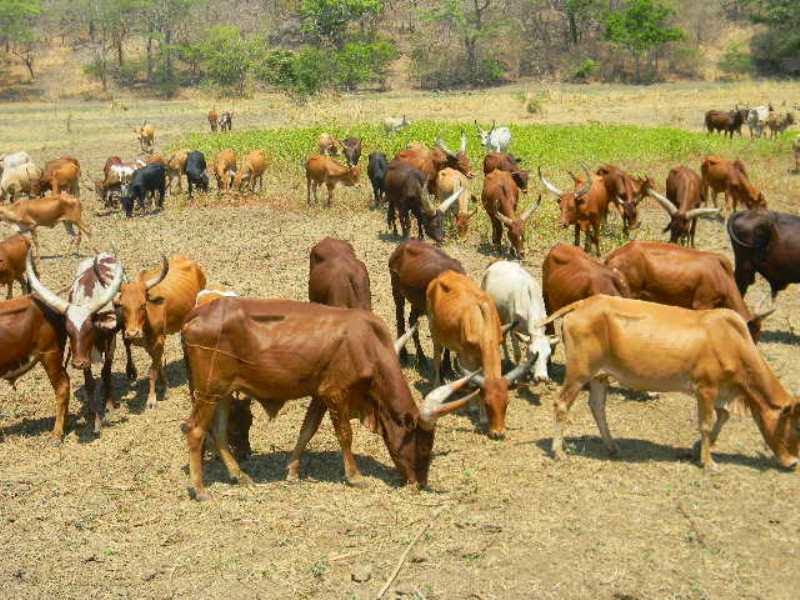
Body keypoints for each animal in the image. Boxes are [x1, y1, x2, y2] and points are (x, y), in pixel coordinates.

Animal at [27, 252, 125, 434]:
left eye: (90, 329)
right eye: (68, 331)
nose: (78, 363)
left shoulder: (109, 342)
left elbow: (106, 372)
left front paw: (109, 405)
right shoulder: (84, 354)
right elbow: (89, 383)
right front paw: (95, 418)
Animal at [116, 256, 206, 409]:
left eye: (143, 304)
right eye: (122, 305)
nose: (133, 333)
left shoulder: (158, 340)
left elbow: (152, 371)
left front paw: (152, 399)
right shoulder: (147, 343)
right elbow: (156, 364)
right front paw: (164, 386)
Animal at [180, 297, 453, 500]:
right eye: (424, 446)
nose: (420, 483)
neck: (366, 344)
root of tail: (195, 315)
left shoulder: (320, 394)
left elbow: (307, 430)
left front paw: (292, 470)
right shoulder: (335, 392)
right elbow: (345, 435)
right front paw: (355, 476)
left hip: (222, 393)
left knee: (218, 433)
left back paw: (240, 476)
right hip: (209, 391)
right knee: (194, 430)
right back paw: (200, 489)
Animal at [427, 270, 531, 439]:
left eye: (507, 402)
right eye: (488, 403)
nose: (498, 433)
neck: (483, 326)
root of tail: (441, 276)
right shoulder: (467, 358)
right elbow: (471, 381)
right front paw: (475, 410)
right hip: (435, 334)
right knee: (436, 358)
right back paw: (437, 384)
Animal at [540, 295, 800, 471]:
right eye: (796, 427)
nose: (793, 462)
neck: (731, 341)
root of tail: (582, 303)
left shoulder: (720, 391)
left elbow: (723, 416)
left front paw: (699, 448)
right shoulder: (706, 388)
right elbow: (707, 423)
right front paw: (708, 462)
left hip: (600, 376)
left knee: (597, 406)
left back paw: (612, 446)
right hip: (579, 372)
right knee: (561, 404)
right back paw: (559, 452)